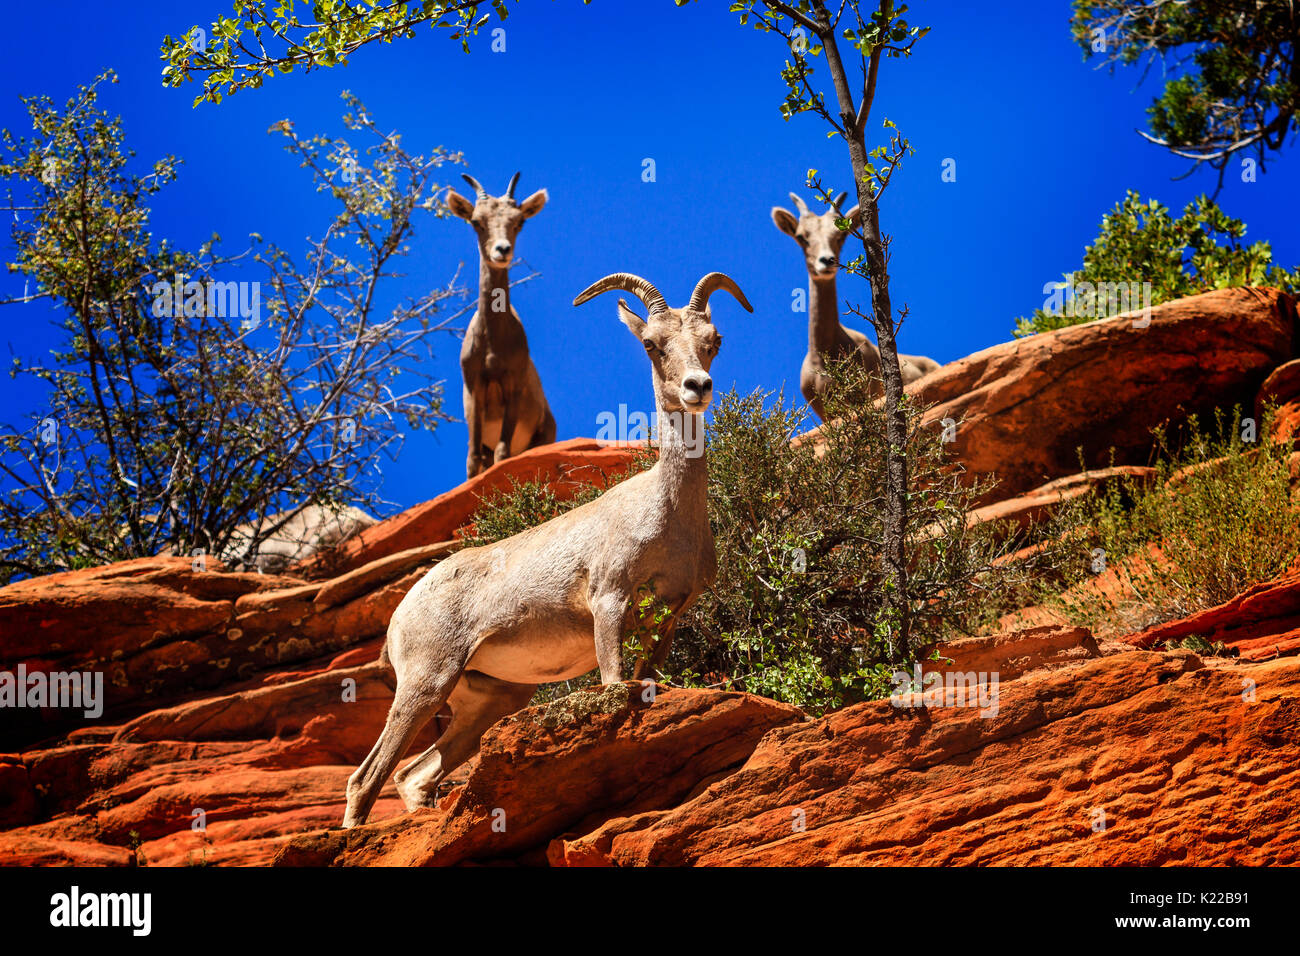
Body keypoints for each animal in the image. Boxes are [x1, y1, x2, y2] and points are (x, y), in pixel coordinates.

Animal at [341, 270, 752, 828]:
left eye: (715, 340)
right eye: (651, 344)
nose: (697, 387)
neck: (666, 514)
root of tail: (400, 617)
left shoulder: (666, 620)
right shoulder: (609, 602)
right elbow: (612, 685)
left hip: (489, 702)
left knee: (413, 777)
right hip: (426, 683)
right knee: (365, 780)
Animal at [446, 172, 557, 479]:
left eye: (518, 221)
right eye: (476, 221)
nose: (502, 250)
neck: (493, 349)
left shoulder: (513, 388)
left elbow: (503, 453)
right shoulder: (474, 391)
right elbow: (472, 460)